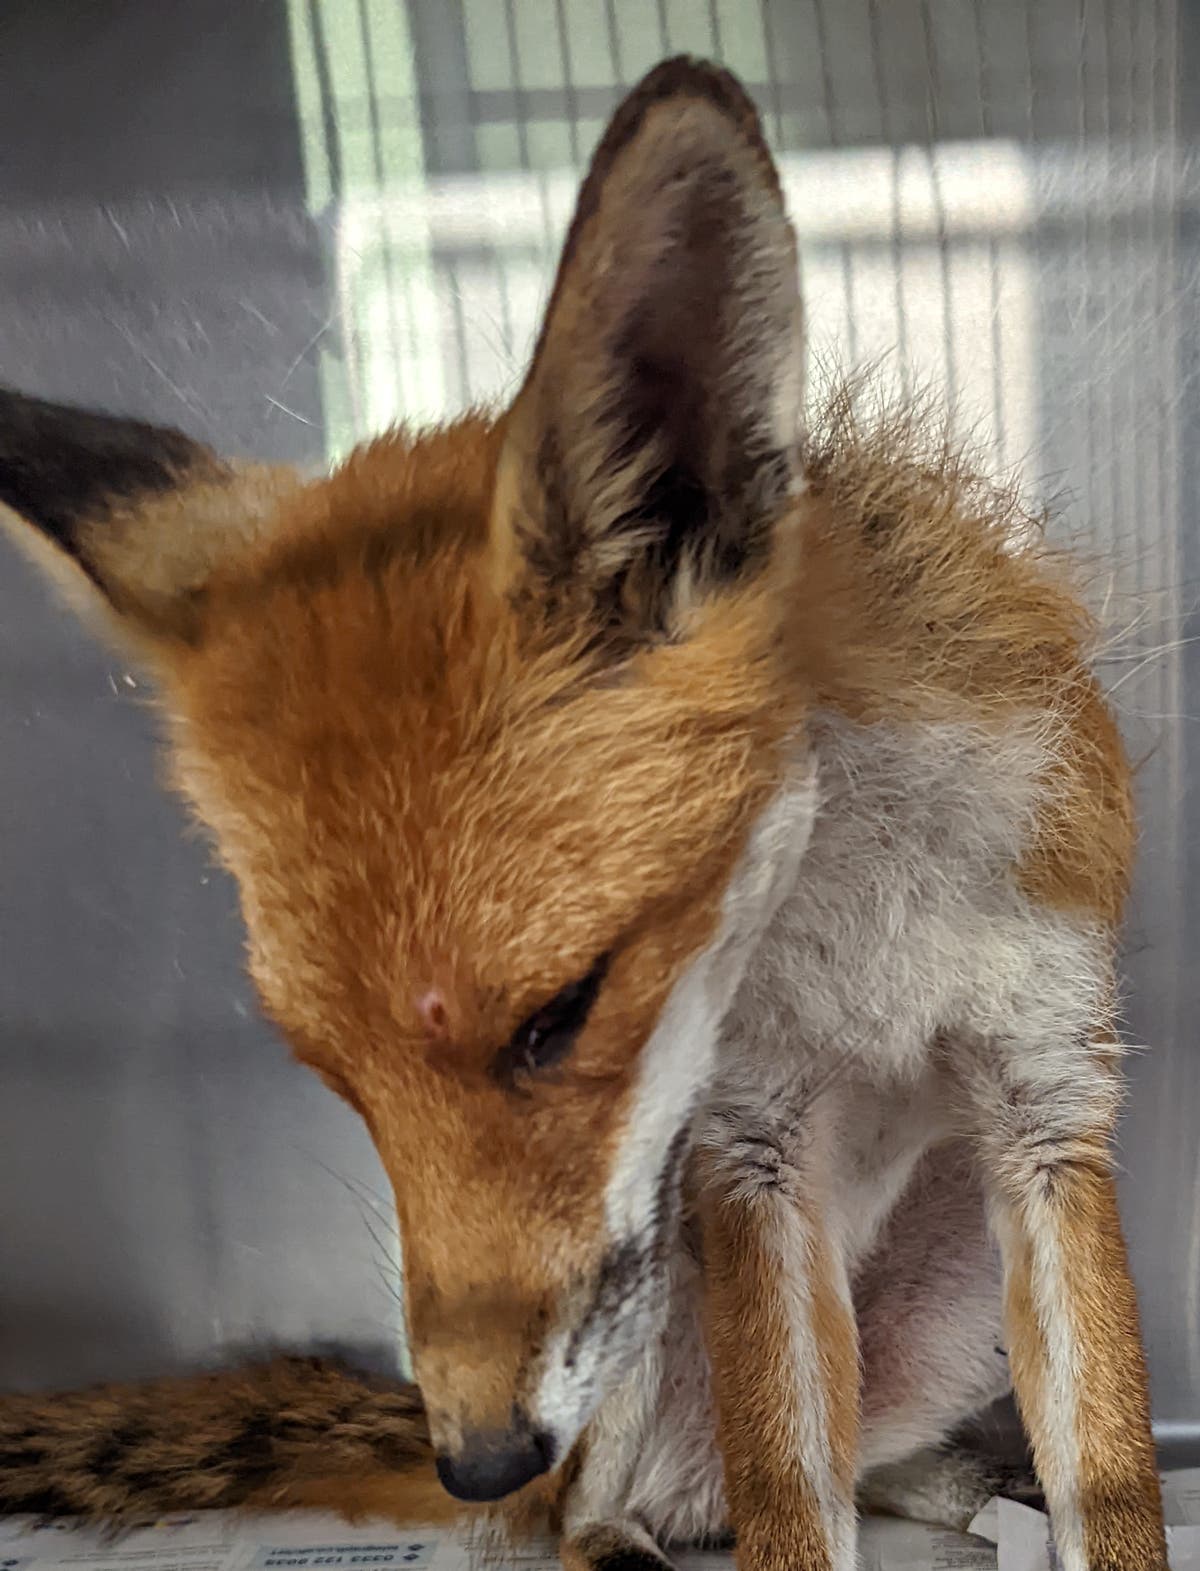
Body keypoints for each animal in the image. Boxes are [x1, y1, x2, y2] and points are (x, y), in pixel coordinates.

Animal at [0, 54, 1168, 1571]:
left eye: (560, 1013)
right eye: (332, 1074)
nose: (478, 1453)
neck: (864, 925)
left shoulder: (1048, 1098)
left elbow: (1110, 1479)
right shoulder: (748, 1149)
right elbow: (791, 1497)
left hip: (950, 1292)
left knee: (851, 1465)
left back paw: (969, 1493)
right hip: (656, 1315)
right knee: (617, 1511)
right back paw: (610, 1536)